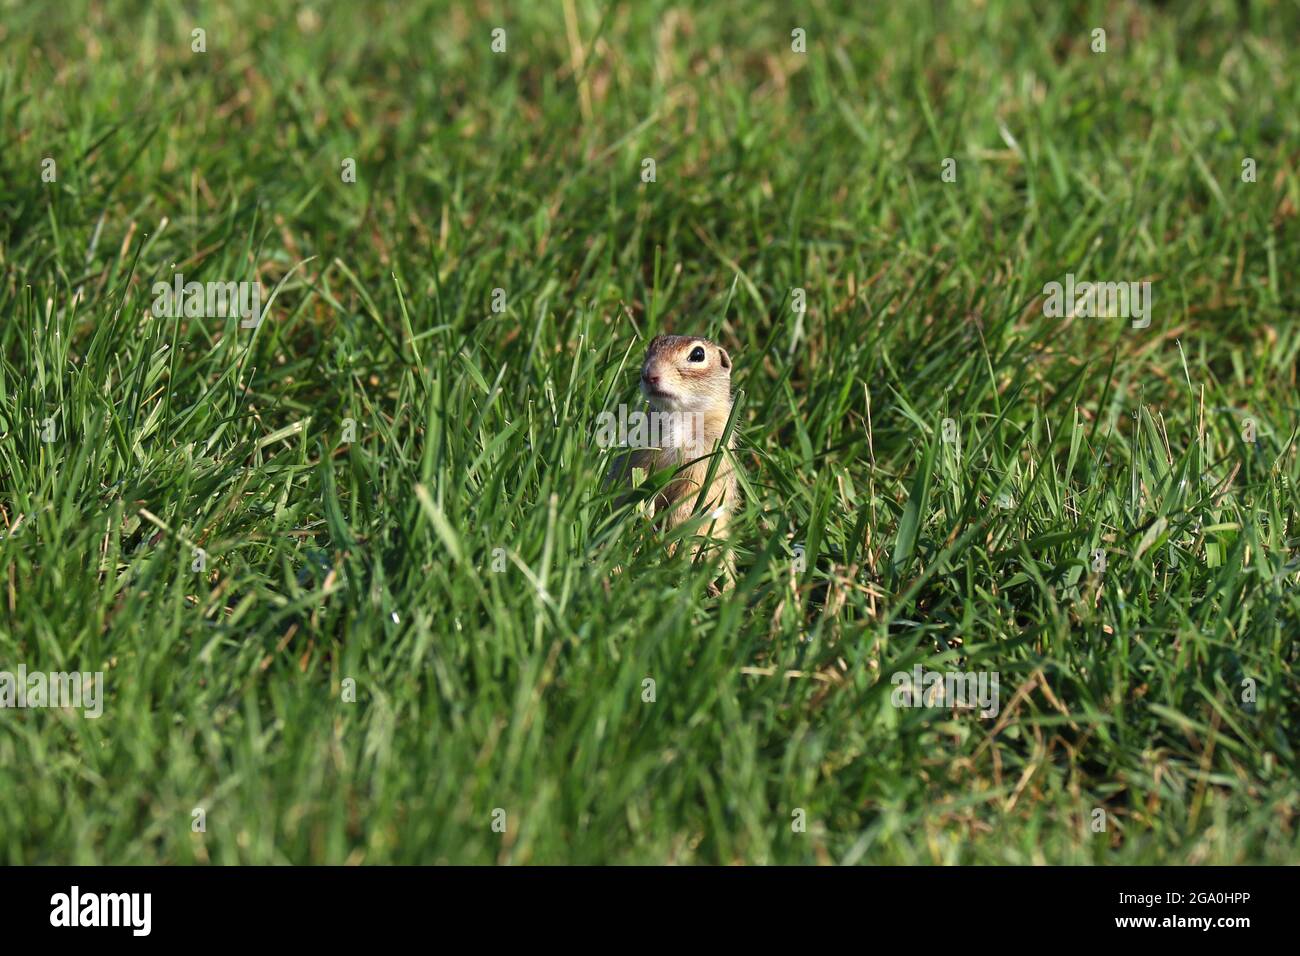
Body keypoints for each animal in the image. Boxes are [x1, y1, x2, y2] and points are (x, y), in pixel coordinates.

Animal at [608, 334, 738, 586]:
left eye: (698, 354)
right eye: (652, 345)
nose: (649, 374)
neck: (680, 417)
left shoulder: (707, 459)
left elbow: (693, 497)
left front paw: (670, 531)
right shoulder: (642, 454)